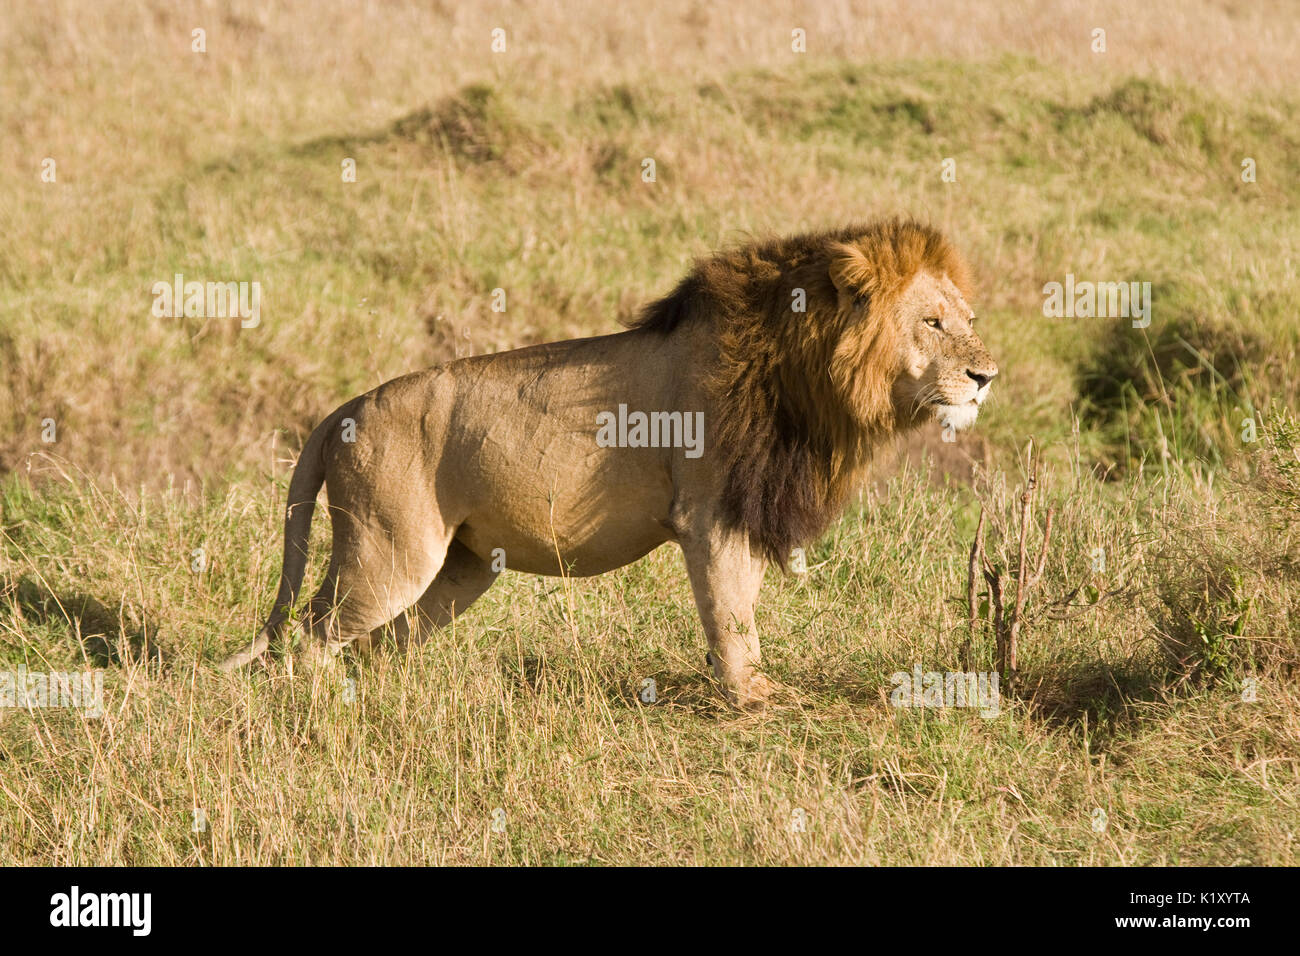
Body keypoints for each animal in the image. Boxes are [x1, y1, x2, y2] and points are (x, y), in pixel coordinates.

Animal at [219, 218, 998, 709]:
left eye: (968, 319)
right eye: (931, 321)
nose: (987, 376)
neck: (809, 379)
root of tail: (345, 406)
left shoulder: (744, 510)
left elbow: (741, 605)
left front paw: (748, 686)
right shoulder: (708, 513)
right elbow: (729, 611)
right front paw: (750, 699)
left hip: (459, 568)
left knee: (379, 642)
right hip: (390, 550)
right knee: (314, 634)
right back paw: (324, 705)